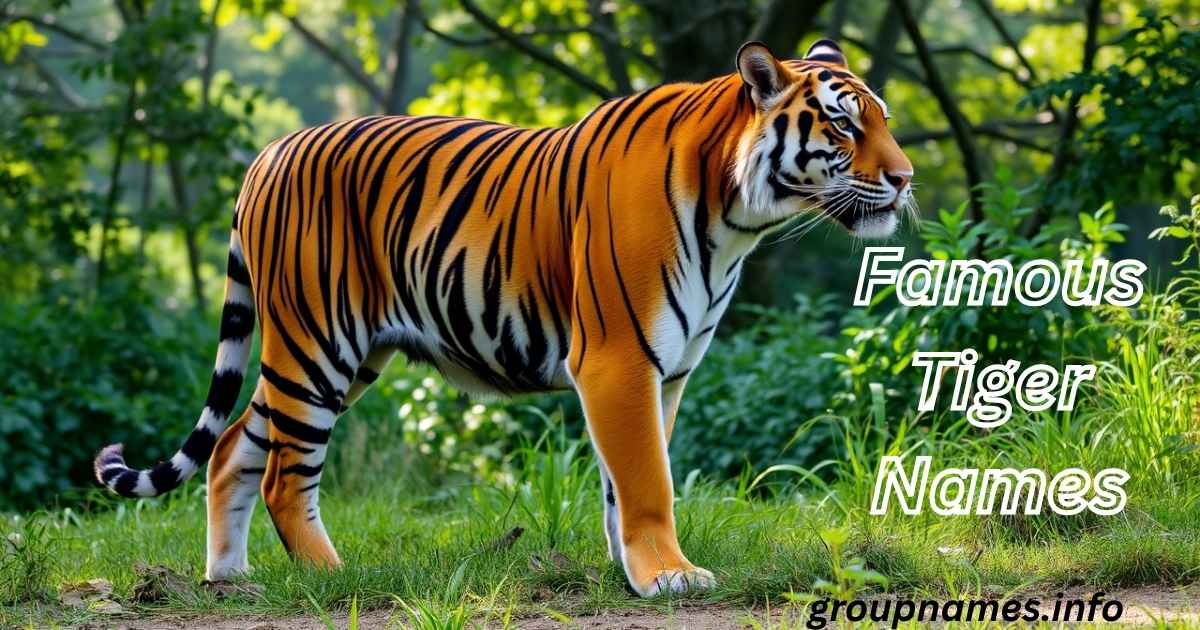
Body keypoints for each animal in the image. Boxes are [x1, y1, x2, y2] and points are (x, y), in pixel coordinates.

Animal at [94, 39, 913, 597]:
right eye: (842, 129)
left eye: (884, 121)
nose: (905, 179)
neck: (740, 215)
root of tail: (266, 154)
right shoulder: (619, 359)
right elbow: (649, 477)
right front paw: (670, 575)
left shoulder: (668, 370)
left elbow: (626, 479)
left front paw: (630, 570)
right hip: (316, 346)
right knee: (283, 474)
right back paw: (330, 576)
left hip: (333, 356)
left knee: (233, 445)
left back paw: (229, 579)